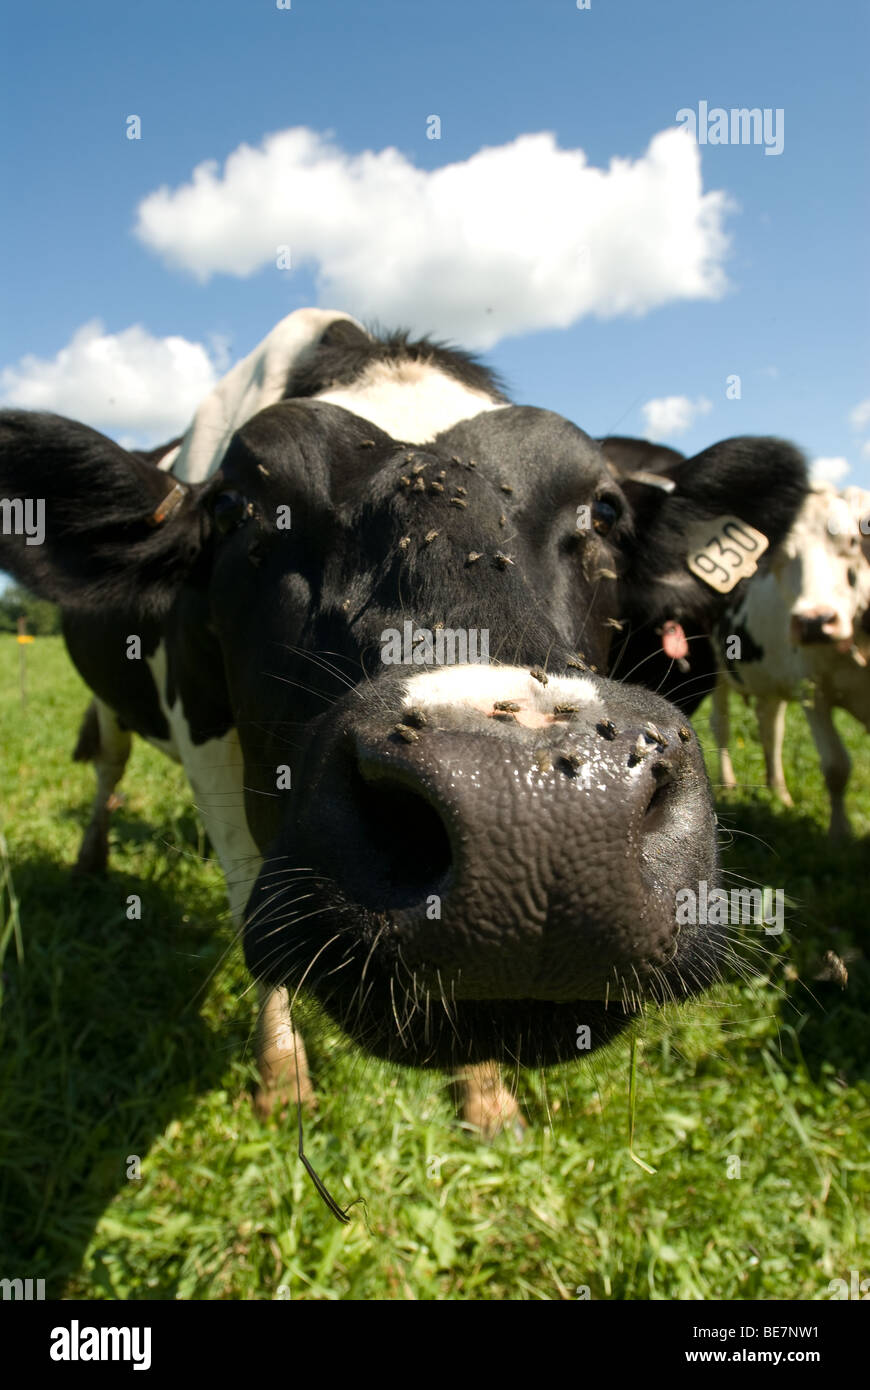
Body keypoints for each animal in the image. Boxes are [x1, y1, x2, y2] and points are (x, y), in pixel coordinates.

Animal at [0, 309, 808, 1141]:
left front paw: (486, 1094)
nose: (539, 823)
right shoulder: (206, 741)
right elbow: (247, 894)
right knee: (108, 760)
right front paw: (281, 1077)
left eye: (606, 510)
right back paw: (91, 858)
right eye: (232, 509)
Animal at [711, 483, 870, 838]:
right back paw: (728, 784)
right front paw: (839, 834)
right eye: (777, 555)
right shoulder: (813, 691)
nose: (814, 622)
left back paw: (779, 794)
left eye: (852, 541)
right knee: (721, 725)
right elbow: (836, 765)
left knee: (770, 727)